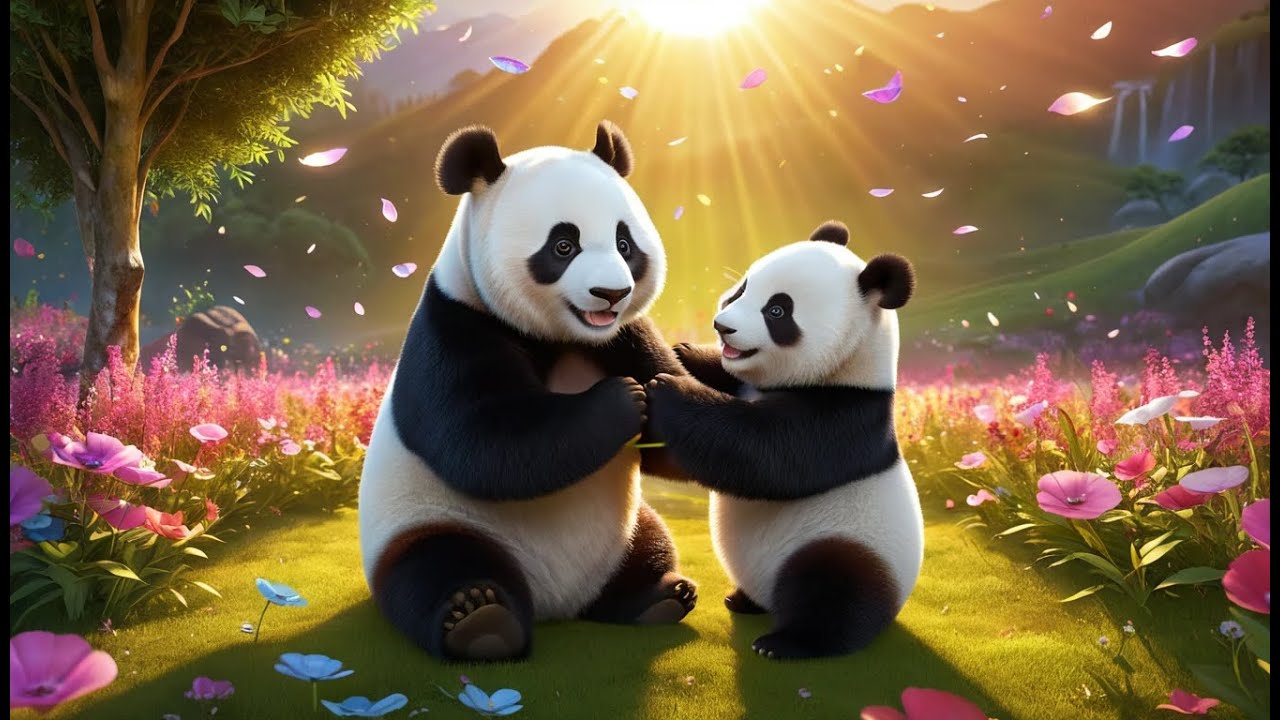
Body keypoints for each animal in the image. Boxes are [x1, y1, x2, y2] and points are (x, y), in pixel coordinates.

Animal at [358, 121, 698, 663]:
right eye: (563, 246)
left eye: (625, 244)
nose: (612, 294)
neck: (563, 338)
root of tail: (557, 603)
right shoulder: (456, 323)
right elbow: (485, 443)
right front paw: (623, 401)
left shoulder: (627, 335)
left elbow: (675, 440)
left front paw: (662, 399)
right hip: (434, 520)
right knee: (433, 566)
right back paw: (478, 619)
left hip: (623, 533)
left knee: (649, 543)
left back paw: (660, 596)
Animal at [644, 220, 923, 660]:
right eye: (742, 288)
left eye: (777, 311)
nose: (722, 326)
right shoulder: (743, 382)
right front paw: (683, 352)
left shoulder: (844, 418)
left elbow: (759, 455)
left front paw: (668, 391)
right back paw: (743, 601)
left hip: (849, 545)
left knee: (833, 591)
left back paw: (786, 642)